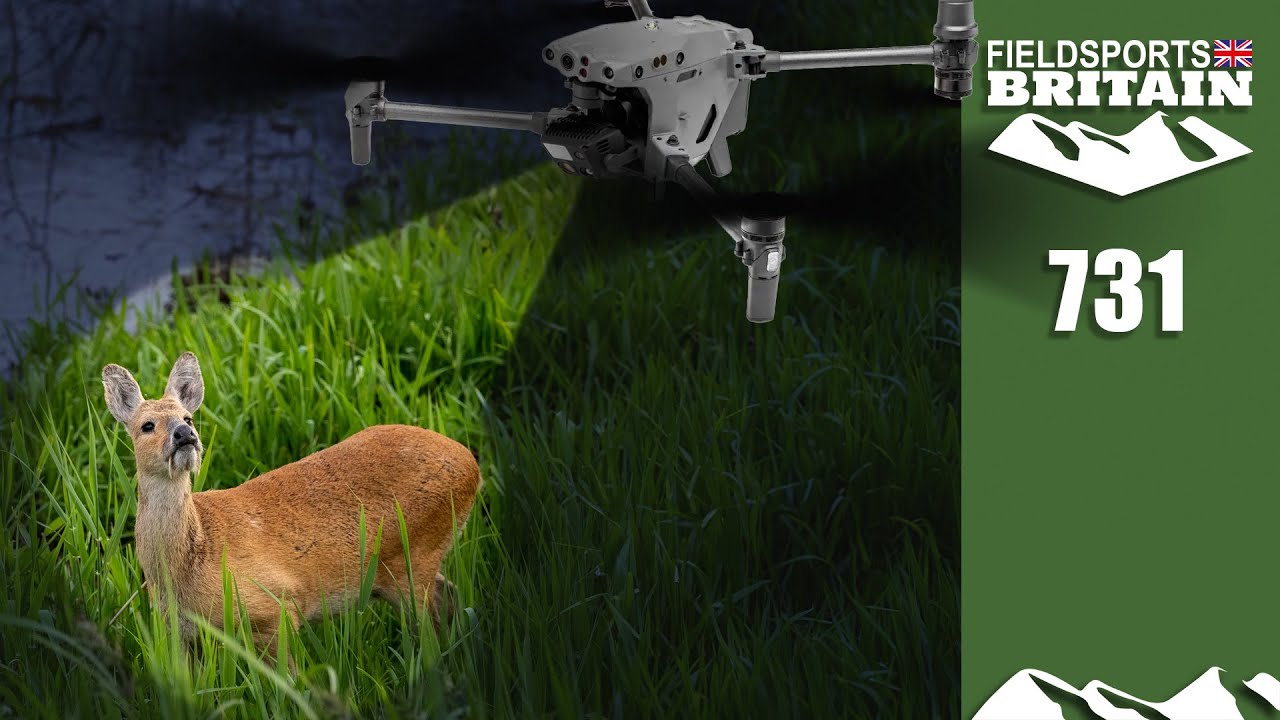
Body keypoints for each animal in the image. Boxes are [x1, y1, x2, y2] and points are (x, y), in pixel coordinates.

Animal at [101, 351, 482, 653]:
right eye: (147, 425)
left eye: (187, 417)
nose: (185, 434)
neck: (191, 562)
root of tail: (471, 464)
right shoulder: (180, 635)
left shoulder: (275, 608)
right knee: (450, 595)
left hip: (415, 556)